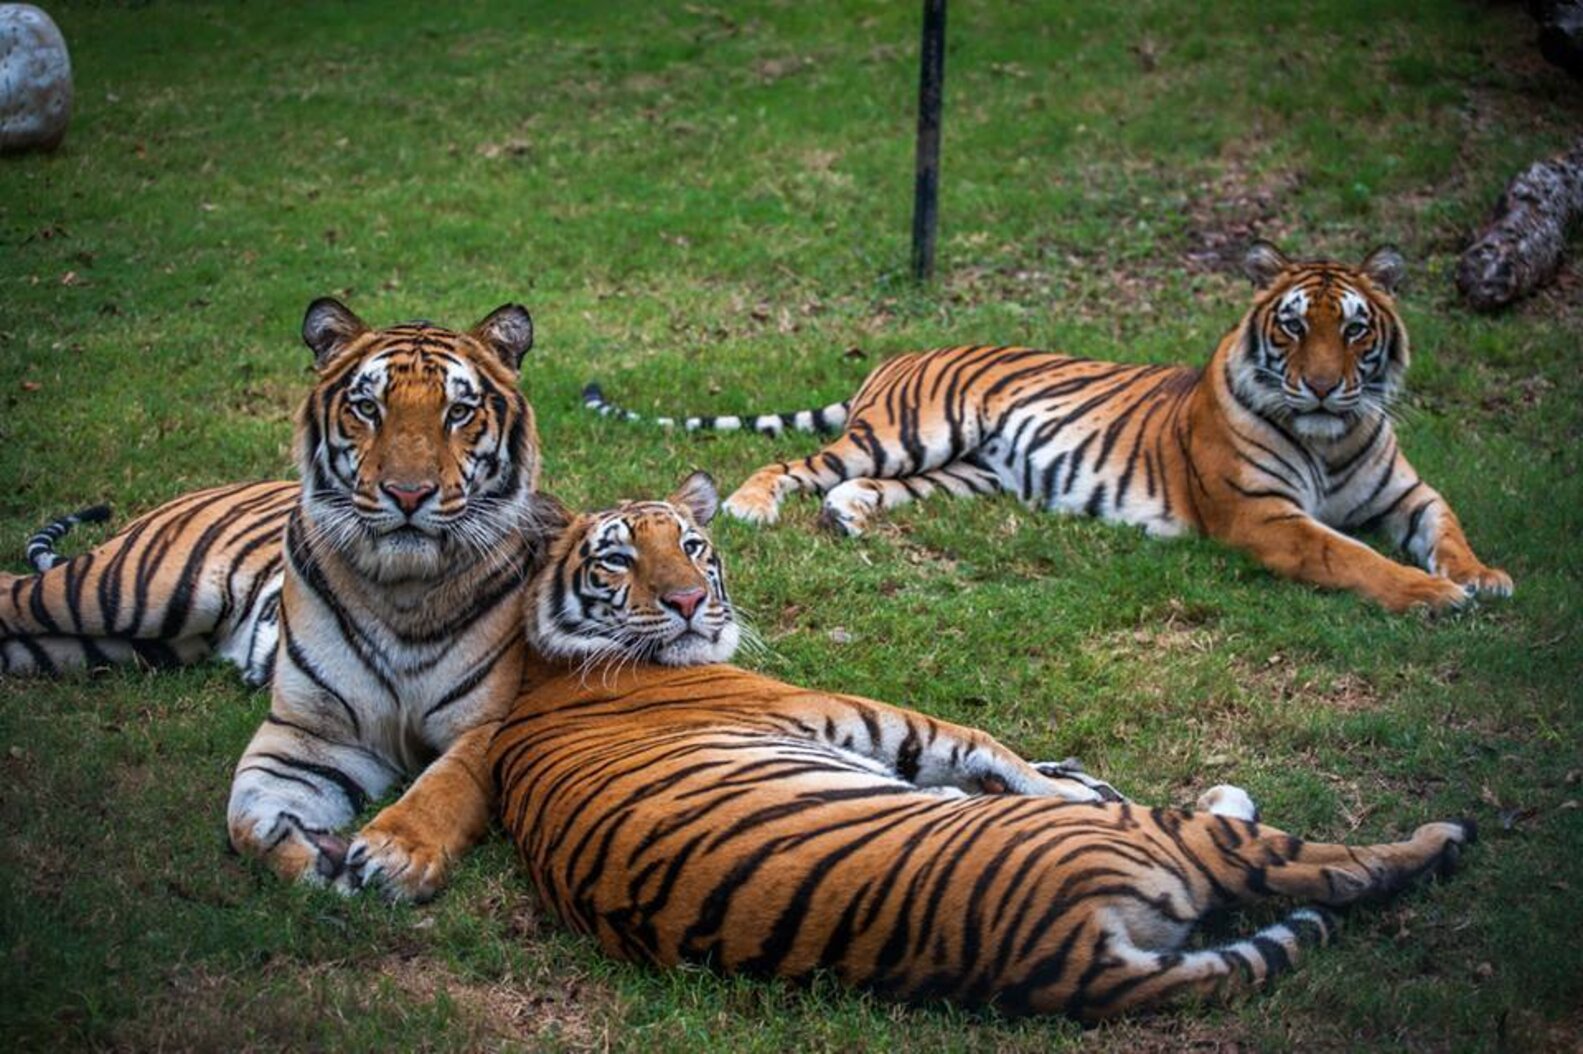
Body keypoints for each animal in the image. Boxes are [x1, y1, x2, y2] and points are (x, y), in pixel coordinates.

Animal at [3, 297, 550, 902]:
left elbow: (448, 785)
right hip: (122, 592)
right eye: (367, 408)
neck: (403, 588)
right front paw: (306, 848)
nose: (408, 494)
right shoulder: (313, 730)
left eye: (458, 412)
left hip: (110, 646)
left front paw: (395, 850)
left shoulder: (489, 725)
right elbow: (246, 815)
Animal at [488, 474, 1474, 1021]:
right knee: (1326, 865)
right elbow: (988, 746)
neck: (551, 661)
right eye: (618, 559)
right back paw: (1435, 837)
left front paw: (1068, 772)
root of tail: (1064, 964)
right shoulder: (853, 709)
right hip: (1177, 841)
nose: (692, 601)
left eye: (694, 545)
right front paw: (1065, 782)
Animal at [581, 243, 1512, 613]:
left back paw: (847, 519)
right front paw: (1432, 595)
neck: (1330, 435)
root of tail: (901, 353)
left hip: (965, 471)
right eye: (1289, 328)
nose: (1321, 386)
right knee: (801, 464)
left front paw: (1483, 576)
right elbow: (1349, 556)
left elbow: (1448, 527)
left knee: (859, 488)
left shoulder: (1407, 493)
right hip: (909, 431)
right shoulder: (1264, 517)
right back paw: (752, 505)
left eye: (1353, 329)